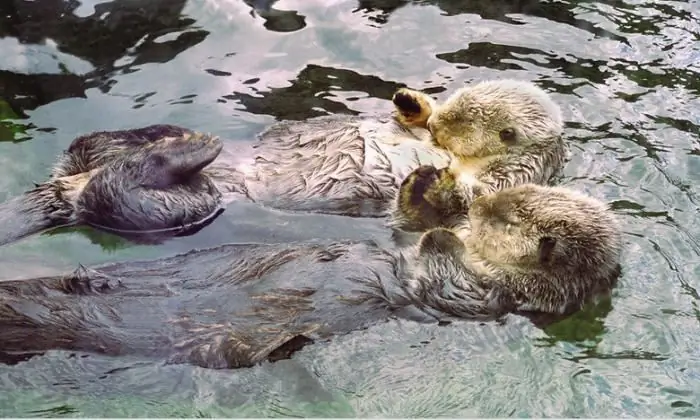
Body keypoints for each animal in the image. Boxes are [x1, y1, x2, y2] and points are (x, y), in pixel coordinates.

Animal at [0, 78, 568, 246]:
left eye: (467, 116)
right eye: (456, 102)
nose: (440, 122)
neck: (456, 155)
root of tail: (68, 192)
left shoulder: (505, 181)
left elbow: (442, 208)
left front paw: (426, 182)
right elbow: (410, 122)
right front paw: (412, 103)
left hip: (178, 208)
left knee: (115, 197)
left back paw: (188, 149)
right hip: (89, 155)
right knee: (92, 144)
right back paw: (176, 136)